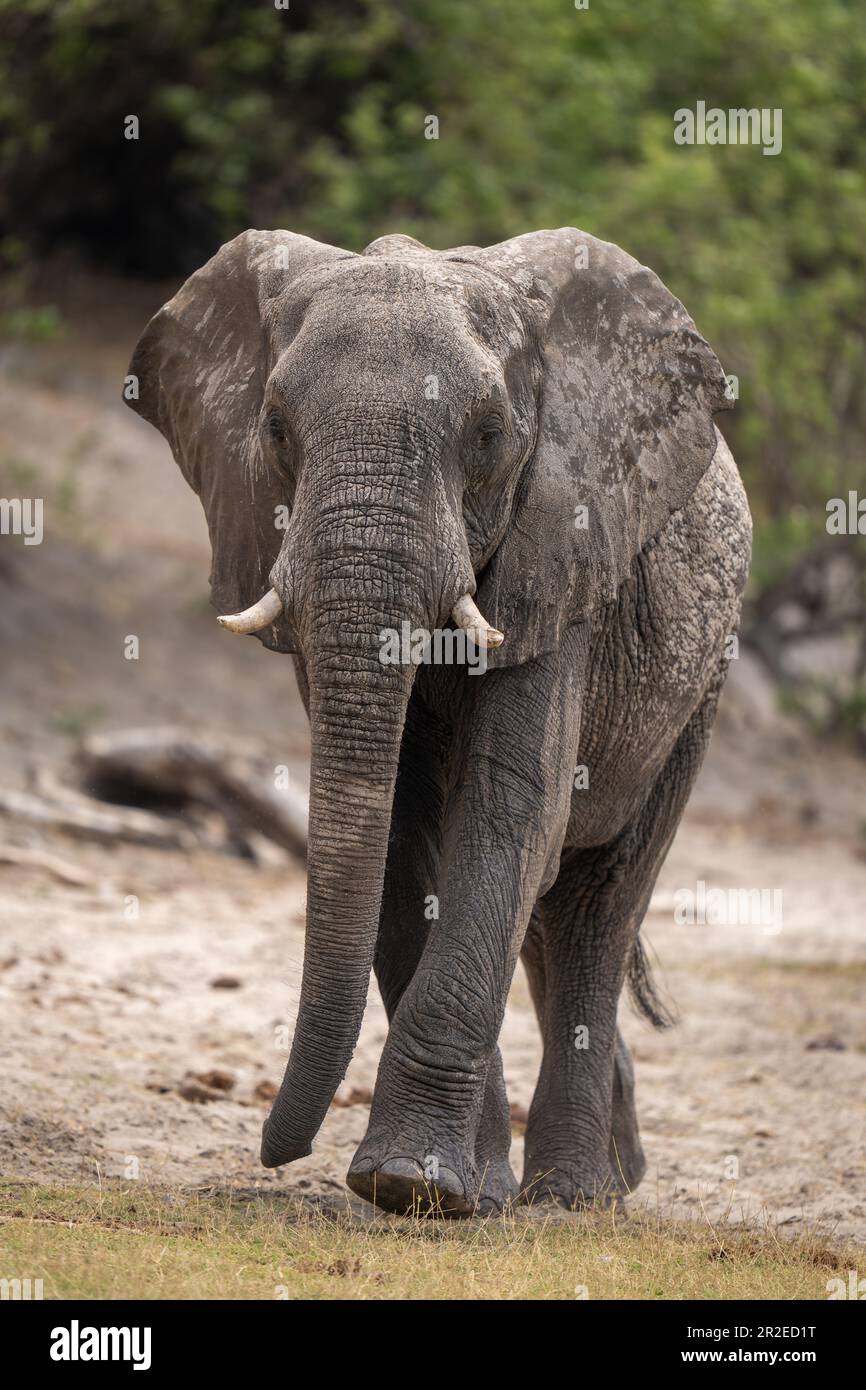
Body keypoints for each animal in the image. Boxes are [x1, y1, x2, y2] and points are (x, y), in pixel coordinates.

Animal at [126, 226, 751, 1216]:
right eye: (275, 428)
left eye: (489, 435)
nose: (274, 1151)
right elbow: (399, 826)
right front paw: (442, 1190)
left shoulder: (565, 548)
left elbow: (508, 812)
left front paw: (413, 1182)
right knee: (554, 915)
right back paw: (604, 1177)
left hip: (702, 687)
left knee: (598, 905)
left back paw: (577, 1198)